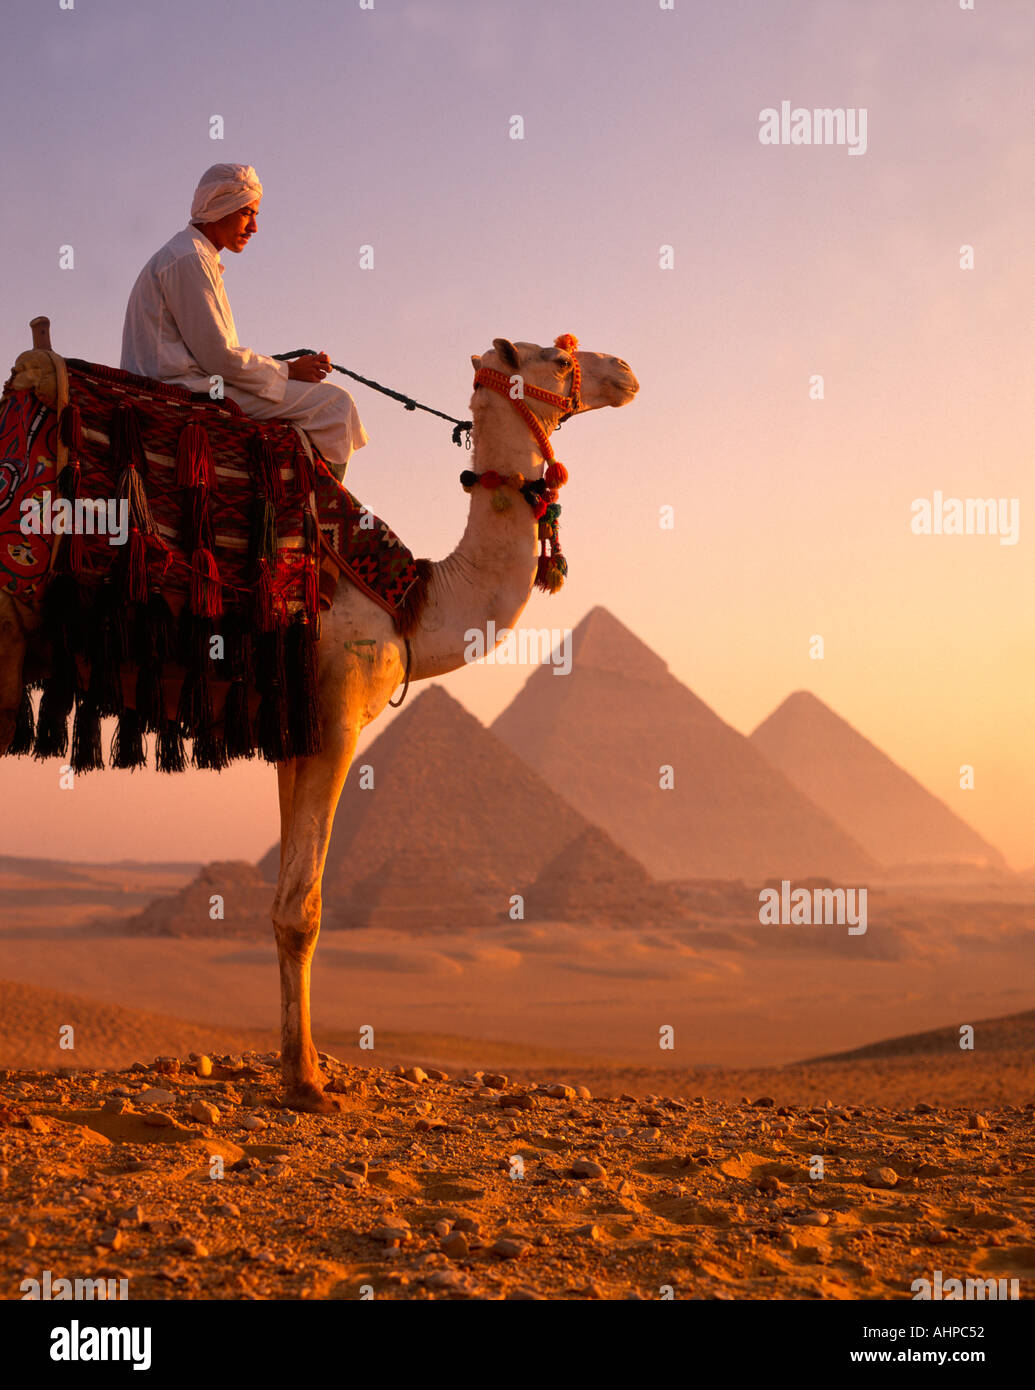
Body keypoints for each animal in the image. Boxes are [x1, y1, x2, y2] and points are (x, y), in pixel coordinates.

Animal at [0, 332, 638, 1112]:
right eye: (558, 356)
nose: (624, 373)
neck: (414, 602)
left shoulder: (293, 733)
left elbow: (283, 898)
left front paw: (295, 1063)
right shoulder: (338, 719)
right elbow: (302, 908)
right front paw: (307, 1083)